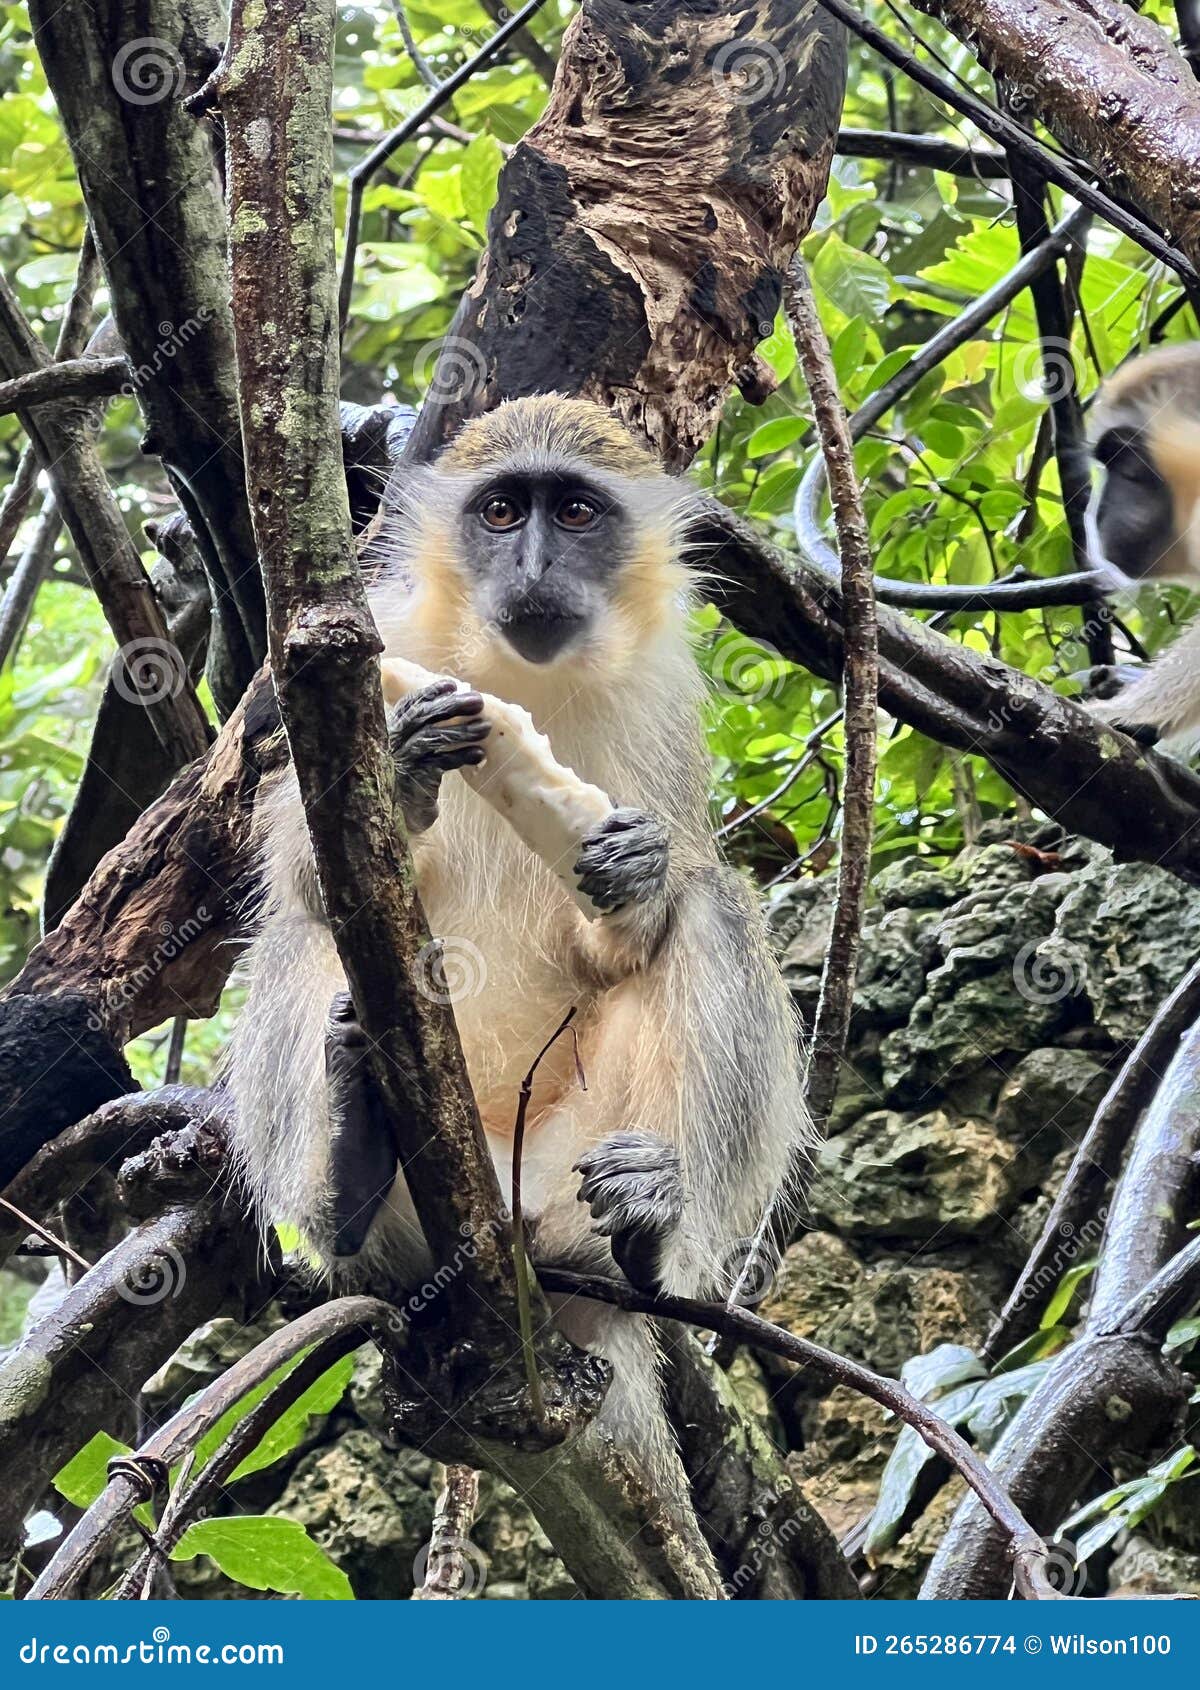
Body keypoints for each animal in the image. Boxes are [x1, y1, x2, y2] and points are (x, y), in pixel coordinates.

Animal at [227, 394, 809, 1512]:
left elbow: (645, 917)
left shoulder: (663, 702)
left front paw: (640, 869)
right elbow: (302, 878)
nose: (533, 566)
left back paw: (651, 1238)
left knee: (715, 909)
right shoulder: (364, 656)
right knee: (313, 938)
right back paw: (349, 1171)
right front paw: (403, 765)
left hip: (571, 1151)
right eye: (501, 512)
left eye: (574, 512)